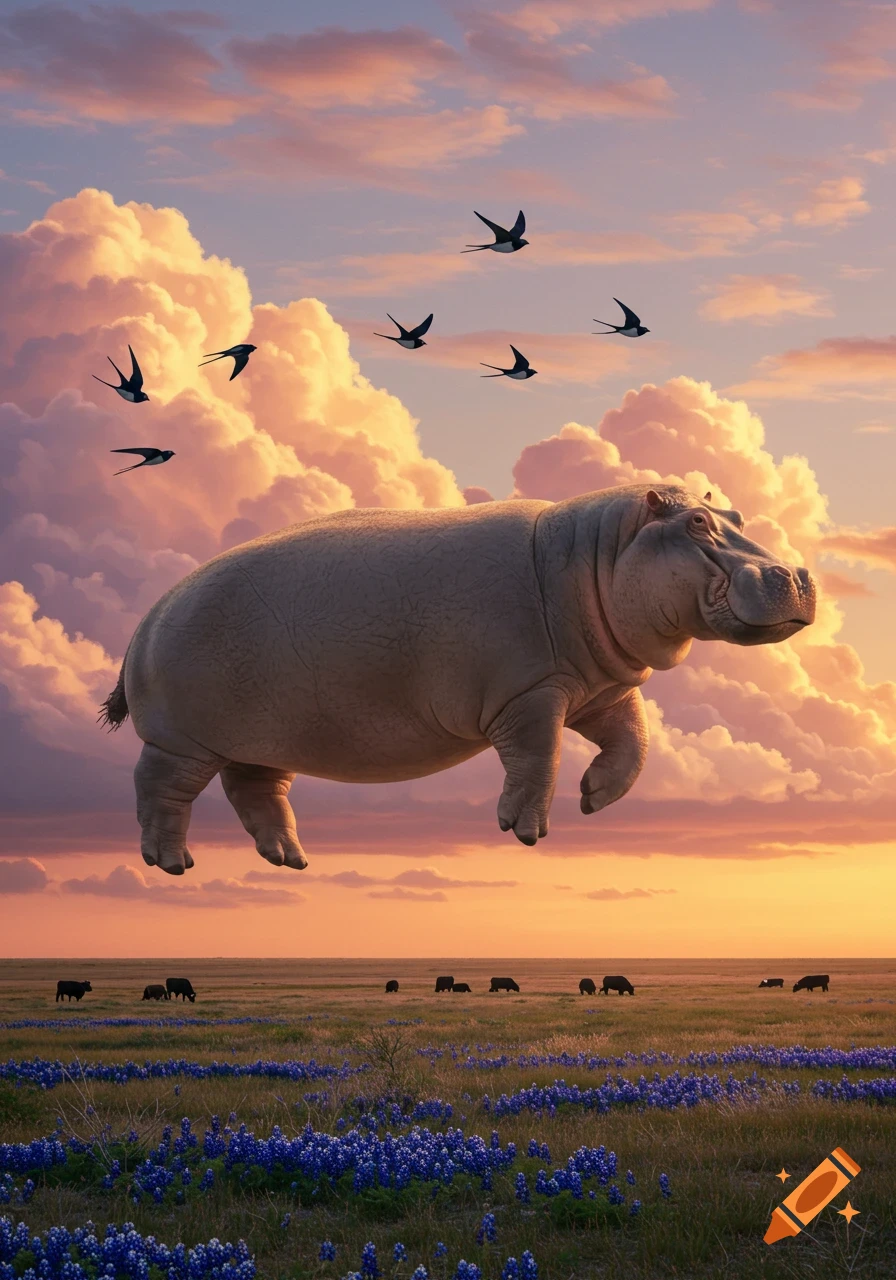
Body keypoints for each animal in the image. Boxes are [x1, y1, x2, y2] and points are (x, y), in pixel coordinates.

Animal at [97, 483, 815, 875]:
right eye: (696, 523)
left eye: (738, 518)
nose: (799, 574)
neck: (599, 552)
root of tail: (147, 618)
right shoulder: (530, 694)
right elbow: (539, 759)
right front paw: (524, 831)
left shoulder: (602, 687)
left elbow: (633, 747)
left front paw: (595, 799)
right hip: (182, 739)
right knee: (159, 789)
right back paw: (172, 863)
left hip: (261, 737)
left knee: (257, 793)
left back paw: (290, 858)